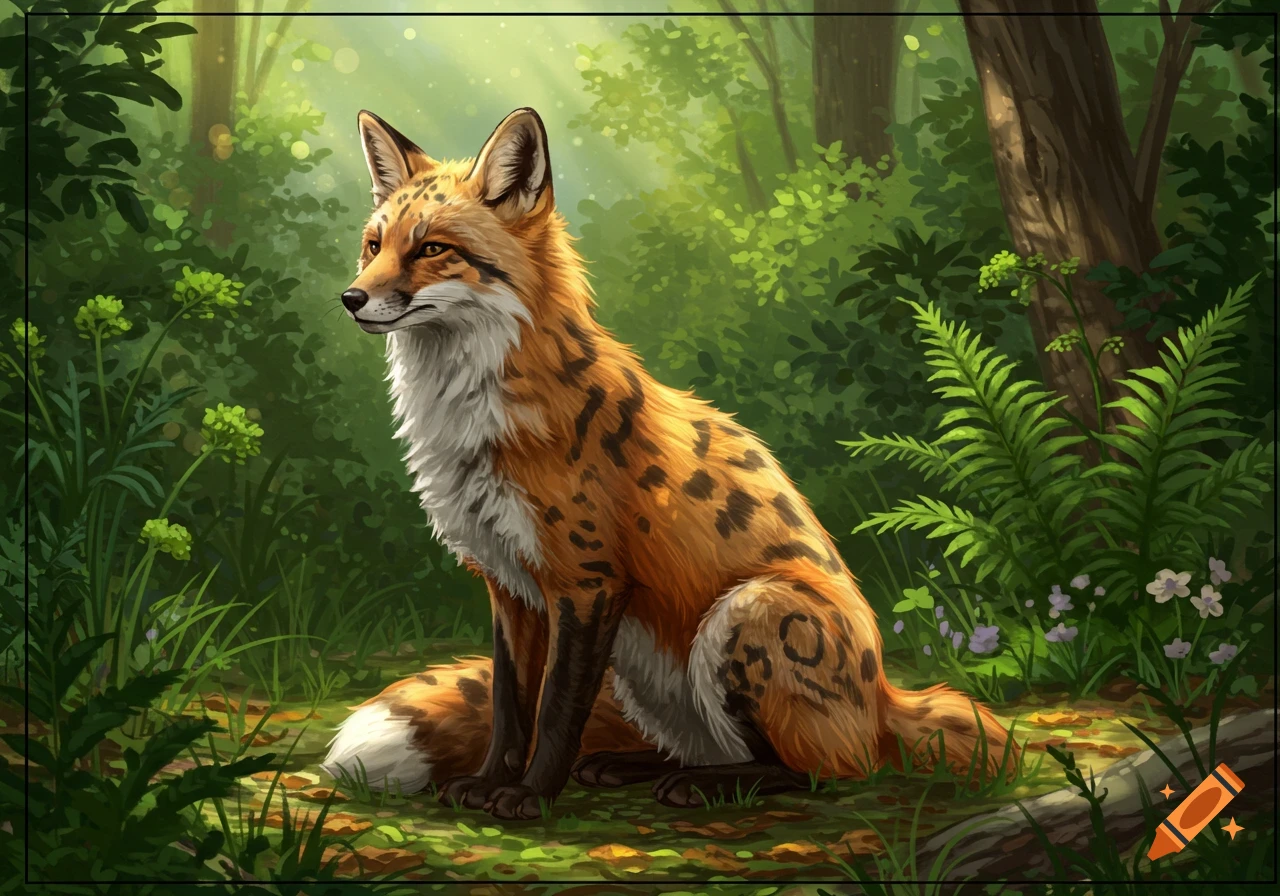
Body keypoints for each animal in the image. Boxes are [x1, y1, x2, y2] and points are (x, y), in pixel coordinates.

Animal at [321, 106, 1018, 820]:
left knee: (827, 769)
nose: (350, 298)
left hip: (751, 615)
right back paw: (631, 767)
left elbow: (554, 711)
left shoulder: (587, 582)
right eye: (374, 246)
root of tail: (885, 703)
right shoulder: (509, 585)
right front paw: (490, 783)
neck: (470, 416)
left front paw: (530, 796)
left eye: (432, 249)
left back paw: (712, 786)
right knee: (705, 748)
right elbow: (510, 708)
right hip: (646, 673)